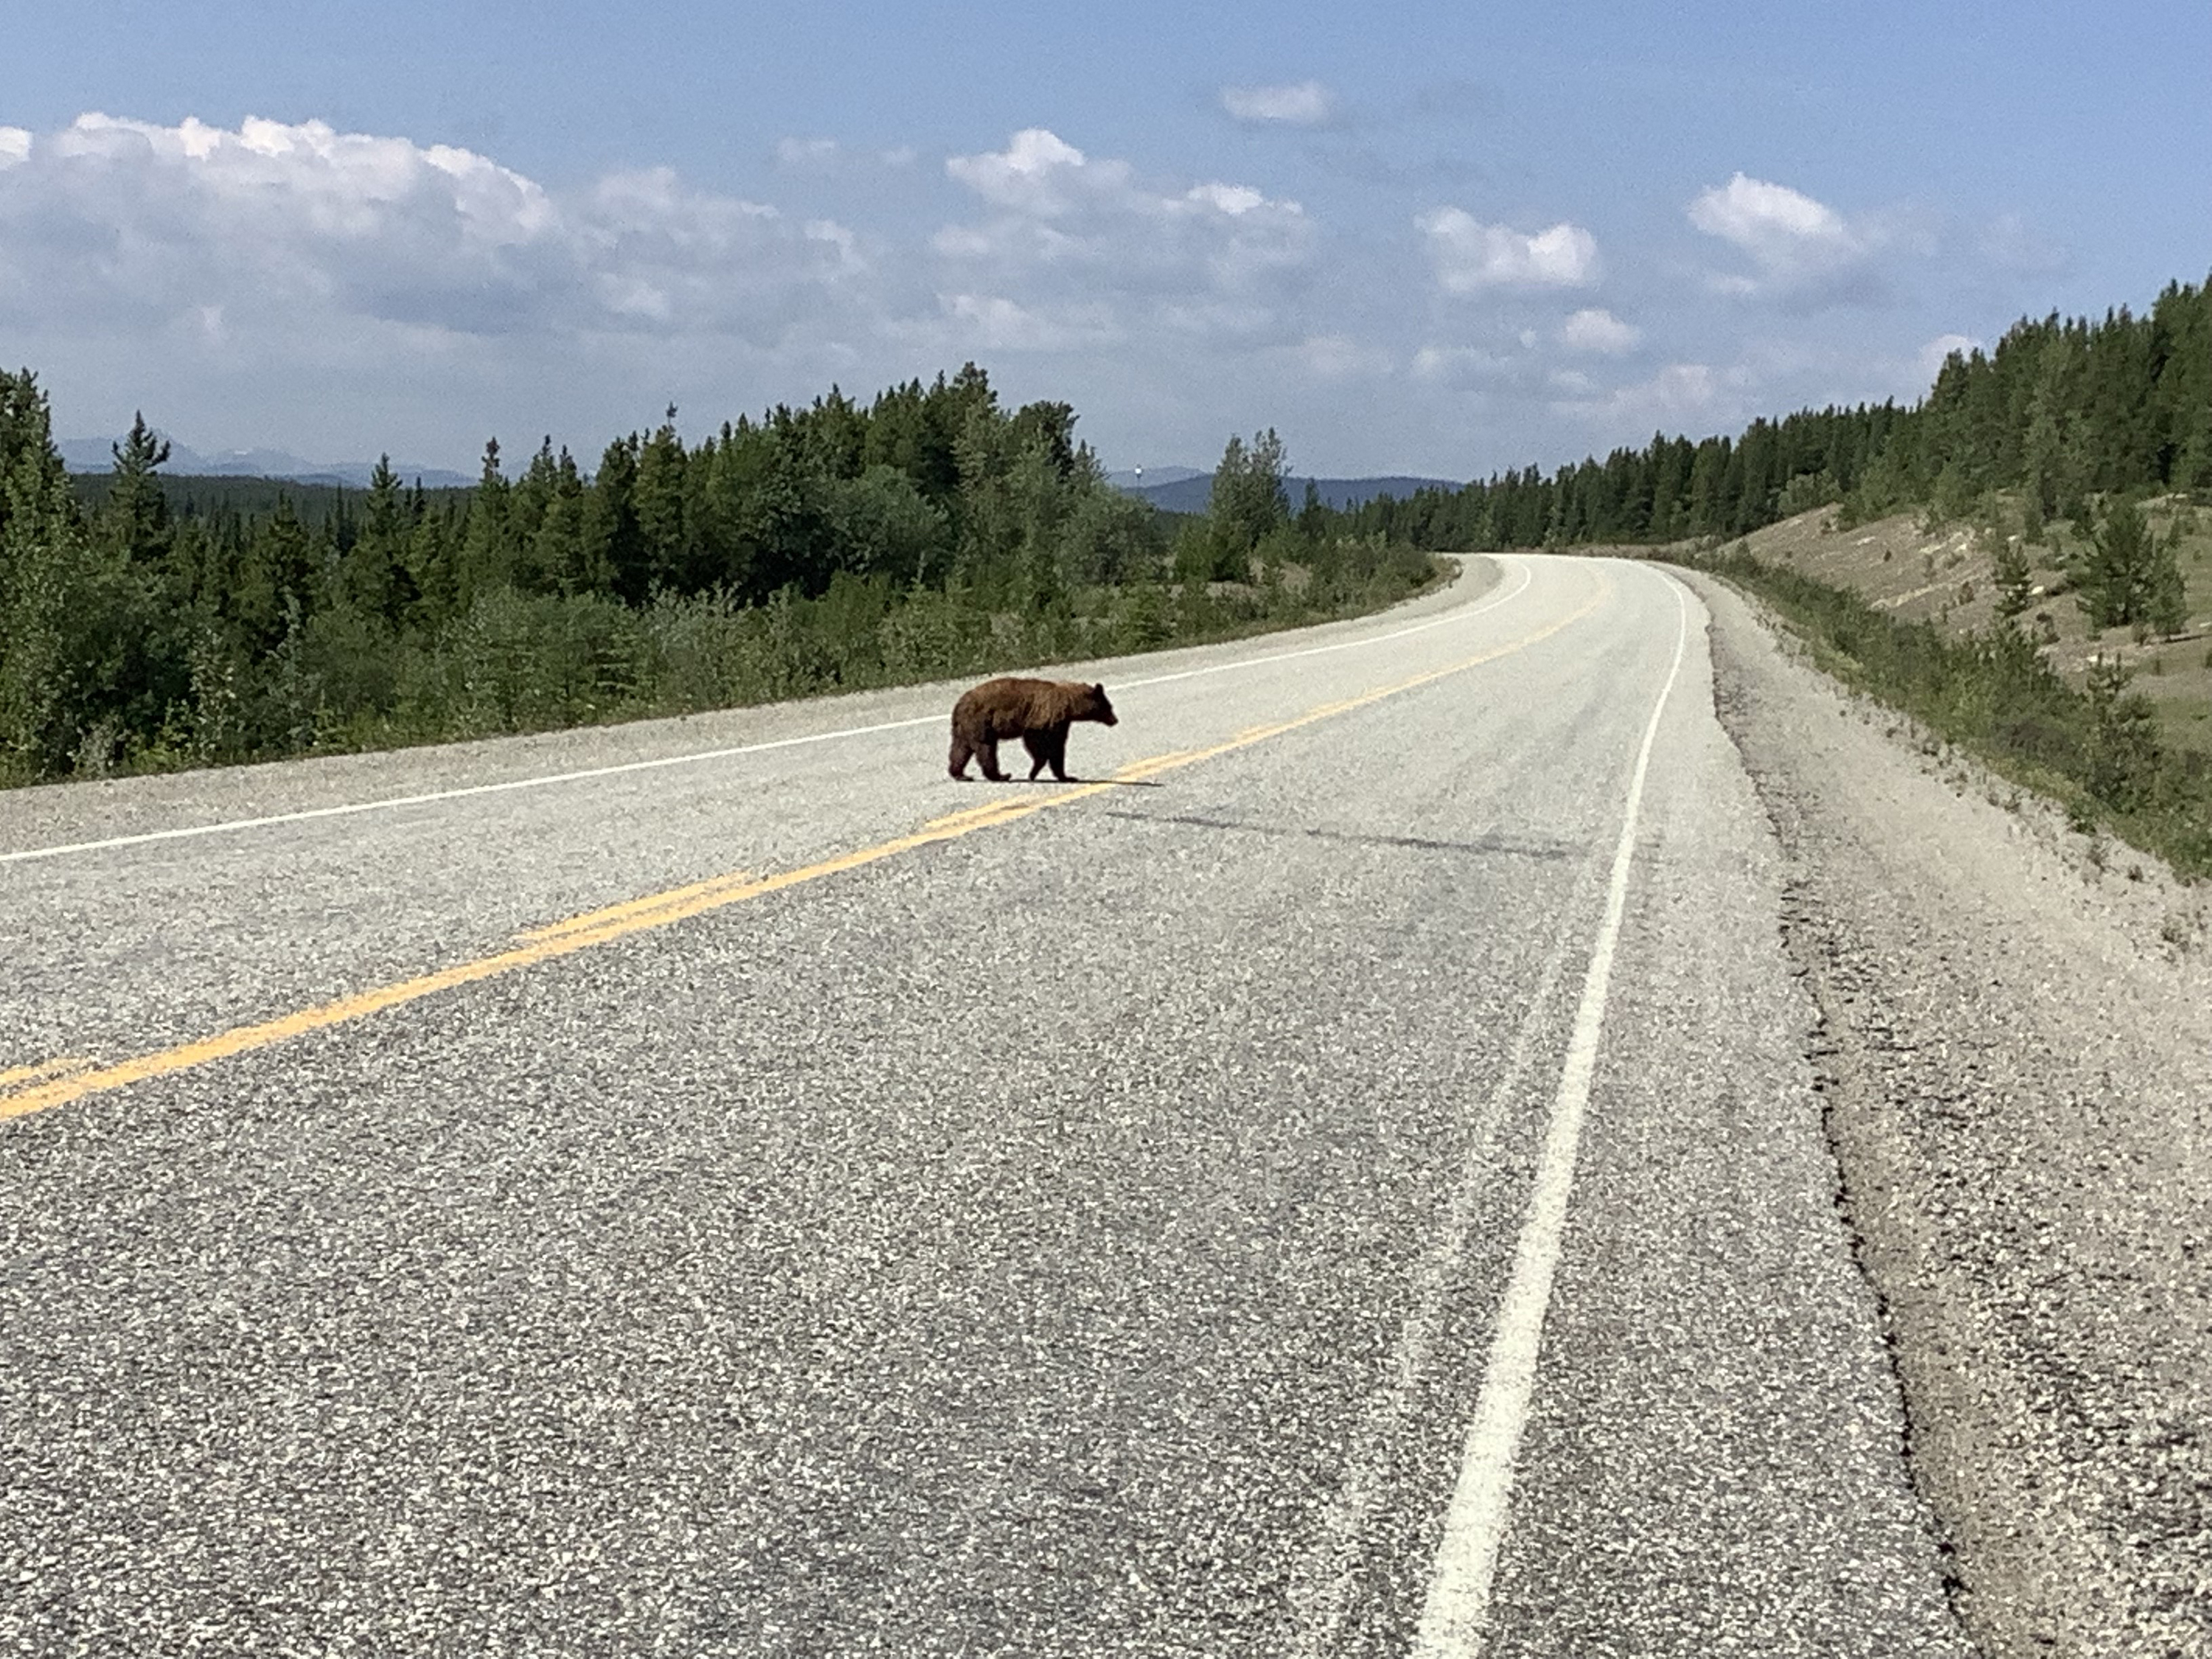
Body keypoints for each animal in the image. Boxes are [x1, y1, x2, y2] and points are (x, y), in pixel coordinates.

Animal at [947, 677, 1119, 782]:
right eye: (1109, 707)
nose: (1115, 720)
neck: (1070, 703)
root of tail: (959, 704)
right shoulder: (1046, 717)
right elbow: (1041, 743)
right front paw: (1036, 772)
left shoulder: (1062, 722)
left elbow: (1057, 745)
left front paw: (1066, 776)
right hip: (980, 722)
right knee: (986, 748)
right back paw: (1001, 775)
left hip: (964, 727)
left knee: (960, 749)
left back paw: (960, 774)